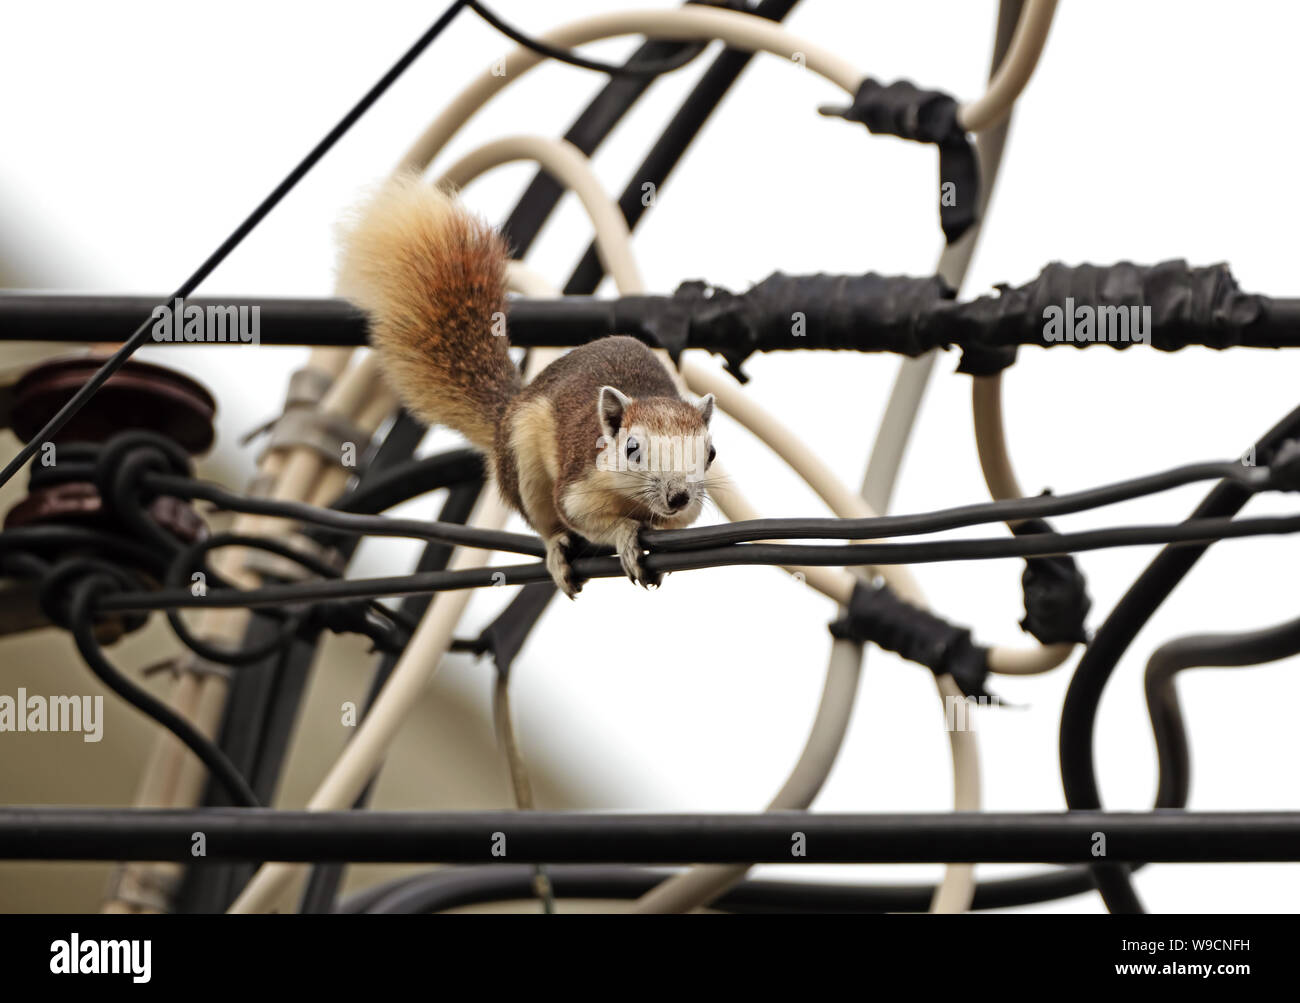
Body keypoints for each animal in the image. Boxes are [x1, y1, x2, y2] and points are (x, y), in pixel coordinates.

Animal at [336, 174, 717, 597]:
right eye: (632, 449)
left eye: (710, 453)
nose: (678, 495)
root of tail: (508, 411)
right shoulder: (578, 485)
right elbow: (585, 519)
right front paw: (625, 535)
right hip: (523, 466)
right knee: (546, 524)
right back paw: (556, 551)